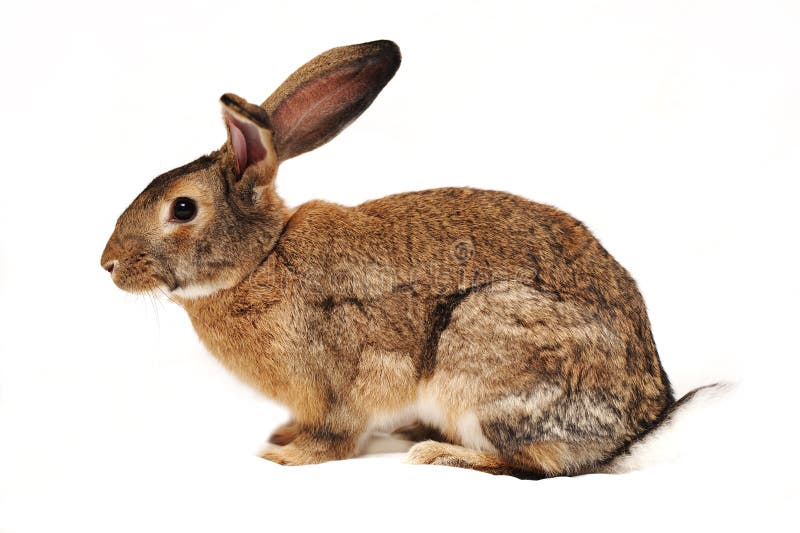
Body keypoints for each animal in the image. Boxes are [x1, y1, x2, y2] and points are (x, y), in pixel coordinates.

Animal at [101, 39, 714, 478]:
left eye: (182, 208)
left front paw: (284, 457)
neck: (260, 258)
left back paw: (438, 454)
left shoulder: (337, 383)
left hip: (483, 351)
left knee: (534, 465)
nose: (107, 265)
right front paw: (280, 437)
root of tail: (643, 420)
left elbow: (335, 436)